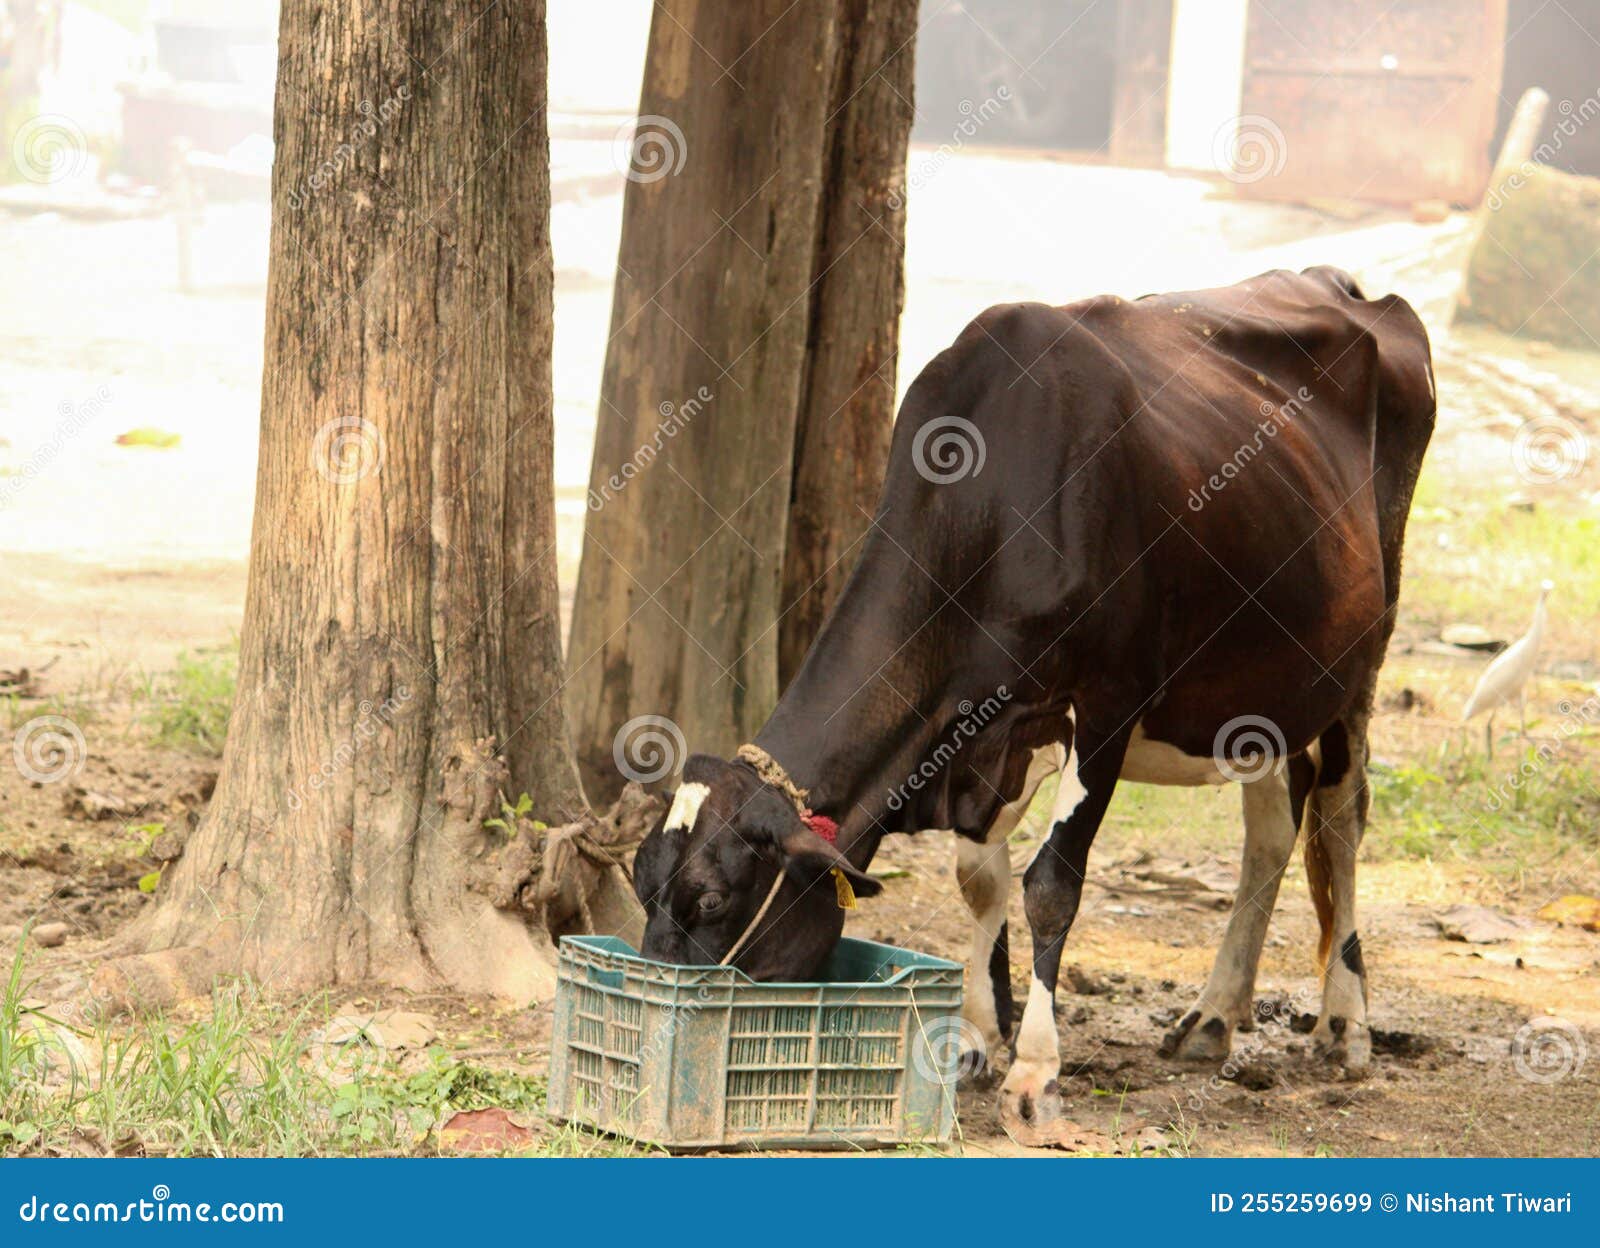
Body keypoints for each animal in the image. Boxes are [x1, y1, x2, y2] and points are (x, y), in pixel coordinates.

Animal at [632, 266, 1435, 1124]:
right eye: (641, 885)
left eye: (712, 902)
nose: (656, 1023)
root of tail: (1341, 283)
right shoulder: (979, 730)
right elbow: (979, 881)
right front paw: (980, 1039)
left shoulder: (1108, 701)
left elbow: (1051, 885)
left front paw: (1035, 1071)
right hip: (1265, 690)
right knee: (1272, 830)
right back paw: (1215, 1015)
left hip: (1364, 655)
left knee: (1342, 820)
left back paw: (1345, 1025)